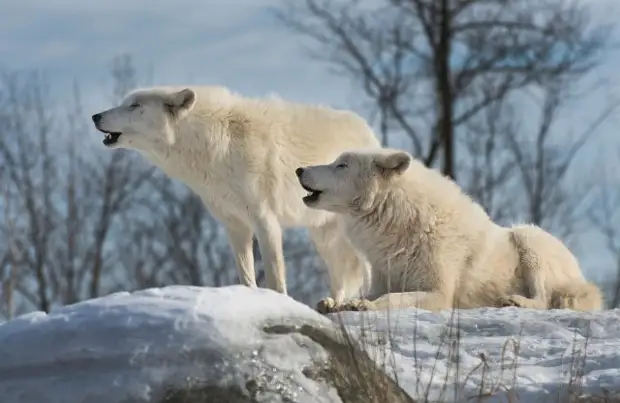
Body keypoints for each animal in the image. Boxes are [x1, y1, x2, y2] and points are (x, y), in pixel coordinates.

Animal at [90, 86, 380, 304]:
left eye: (134, 105)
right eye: (125, 103)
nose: (95, 116)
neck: (216, 145)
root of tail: (368, 130)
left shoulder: (265, 219)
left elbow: (274, 275)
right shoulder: (234, 224)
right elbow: (246, 275)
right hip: (323, 234)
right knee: (345, 270)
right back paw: (334, 304)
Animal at [296, 148, 600, 312]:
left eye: (341, 165)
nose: (299, 169)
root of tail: (582, 275)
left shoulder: (439, 293)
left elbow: (393, 298)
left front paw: (363, 307)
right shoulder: (384, 279)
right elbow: (370, 294)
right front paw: (335, 303)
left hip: (528, 240)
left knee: (546, 299)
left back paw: (515, 302)